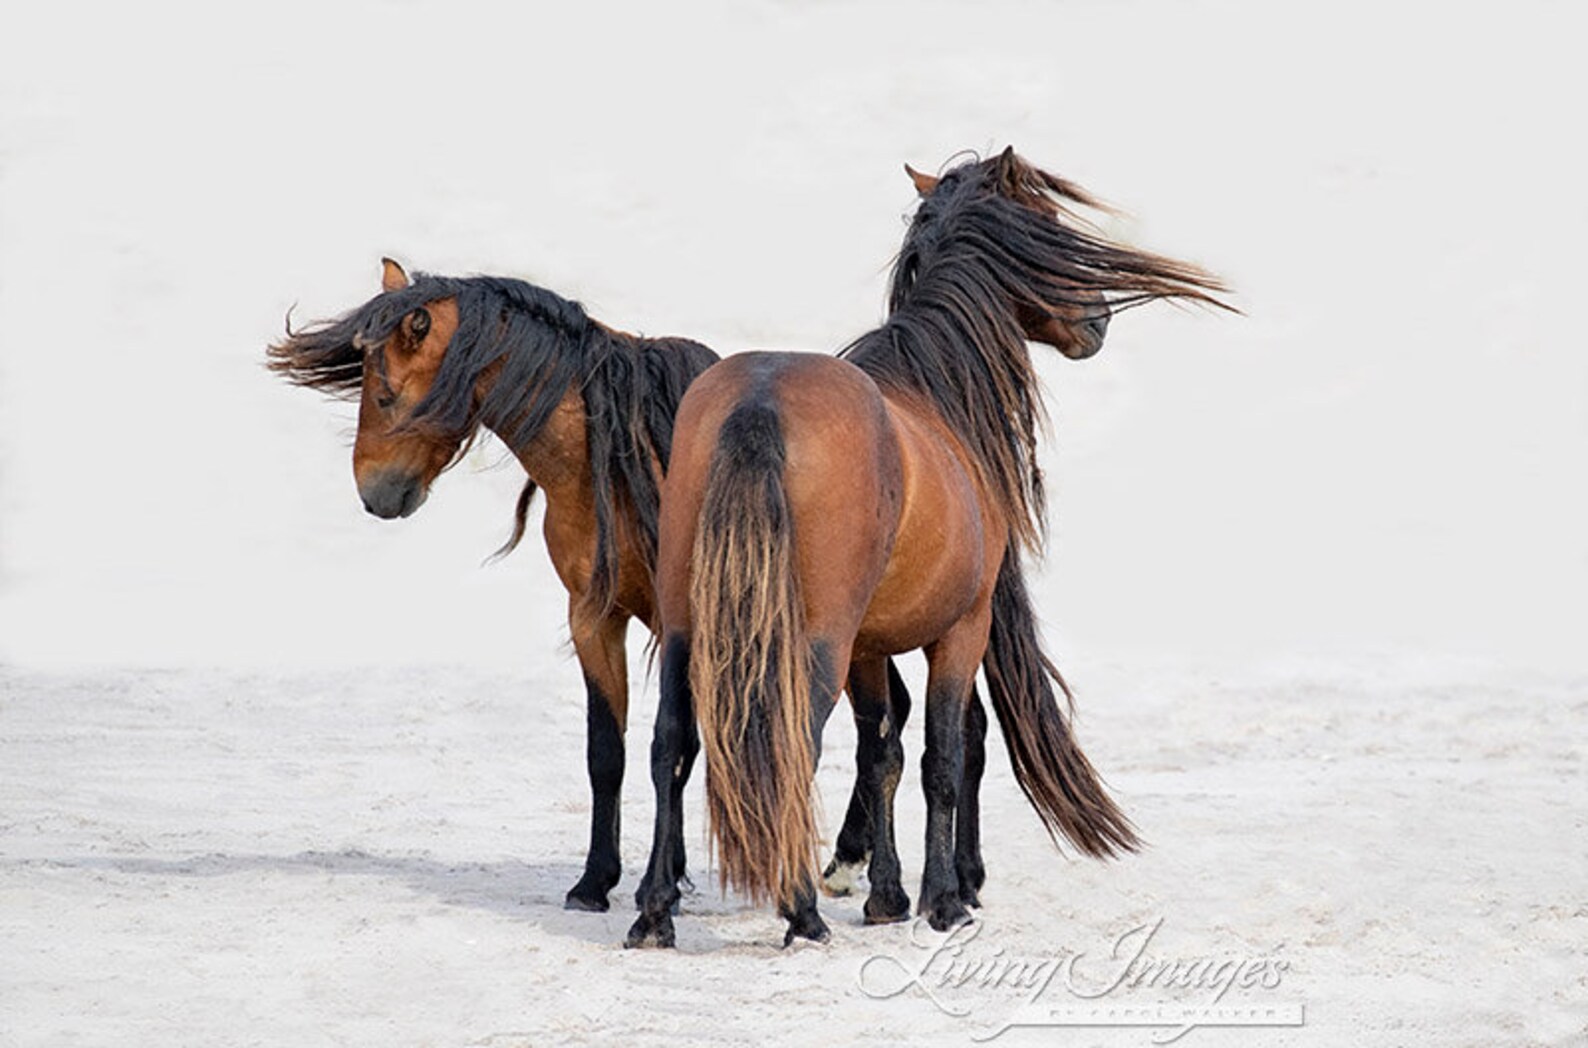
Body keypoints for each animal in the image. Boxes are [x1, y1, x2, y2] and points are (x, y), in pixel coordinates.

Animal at [627, 148, 1231, 949]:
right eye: (1049, 222)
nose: (1097, 320)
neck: (933, 393)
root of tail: (759, 401)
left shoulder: (870, 646)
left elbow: (881, 753)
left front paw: (887, 894)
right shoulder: (960, 630)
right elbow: (944, 755)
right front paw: (943, 899)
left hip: (688, 629)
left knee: (672, 745)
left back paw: (654, 912)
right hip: (811, 642)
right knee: (793, 744)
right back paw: (802, 913)